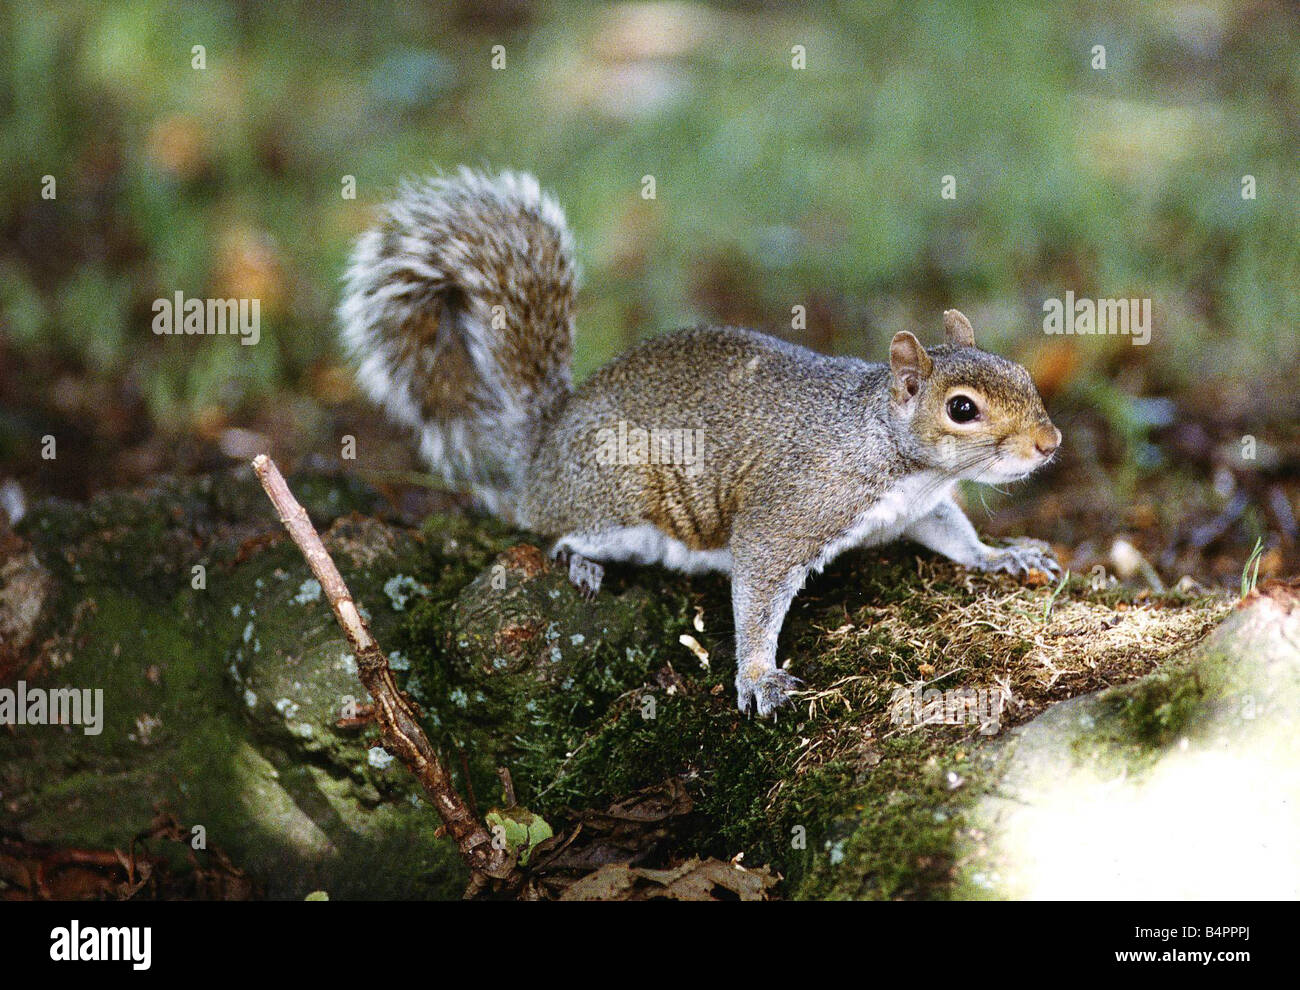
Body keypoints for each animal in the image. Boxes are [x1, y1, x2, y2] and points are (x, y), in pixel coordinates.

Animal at [339, 168, 1062, 717]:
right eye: (962, 409)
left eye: (1023, 374)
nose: (1049, 443)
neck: (888, 448)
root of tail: (543, 451)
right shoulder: (790, 511)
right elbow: (758, 588)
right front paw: (757, 677)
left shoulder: (920, 505)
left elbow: (954, 536)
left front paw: (1002, 555)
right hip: (622, 497)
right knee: (555, 528)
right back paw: (580, 562)